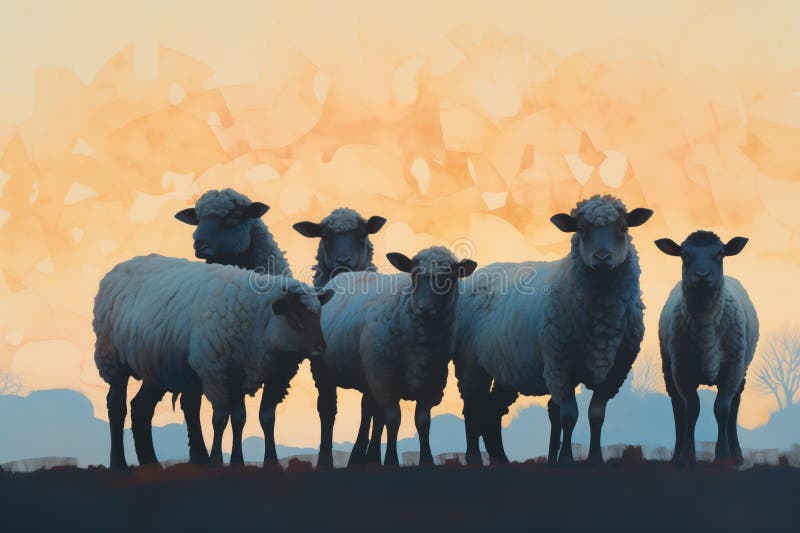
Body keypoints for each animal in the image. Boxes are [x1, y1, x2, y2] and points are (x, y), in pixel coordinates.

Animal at [93, 254, 332, 468]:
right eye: (296, 316)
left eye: (319, 315)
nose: (321, 349)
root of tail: (120, 267)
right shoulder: (217, 373)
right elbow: (221, 418)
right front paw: (217, 460)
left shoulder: (267, 376)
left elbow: (257, 418)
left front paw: (258, 462)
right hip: (113, 358)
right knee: (117, 406)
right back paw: (119, 464)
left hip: (158, 367)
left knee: (141, 408)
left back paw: (151, 463)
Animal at [293, 208, 387, 466]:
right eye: (325, 237)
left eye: (362, 235)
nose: (343, 262)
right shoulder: (320, 368)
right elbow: (326, 409)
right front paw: (325, 460)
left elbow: (368, 410)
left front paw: (359, 457)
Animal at [312, 246, 477, 468]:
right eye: (414, 276)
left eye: (448, 278)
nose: (425, 308)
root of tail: (340, 277)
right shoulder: (386, 380)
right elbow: (393, 419)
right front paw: (391, 461)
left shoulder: (430, 382)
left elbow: (422, 421)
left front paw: (426, 460)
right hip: (326, 371)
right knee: (328, 411)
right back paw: (326, 460)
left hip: (370, 374)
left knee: (369, 411)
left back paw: (364, 457)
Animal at [453, 195, 653, 466]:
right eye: (582, 229)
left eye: (623, 228)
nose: (602, 258)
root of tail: (481, 272)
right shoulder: (560, 366)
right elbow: (569, 417)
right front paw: (566, 459)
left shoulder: (614, 371)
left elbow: (596, 415)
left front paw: (595, 458)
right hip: (470, 364)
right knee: (472, 408)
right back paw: (474, 457)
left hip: (507, 368)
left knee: (492, 411)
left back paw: (501, 458)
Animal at [655, 231, 758, 465]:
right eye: (684, 255)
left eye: (720, 254)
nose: (702, 275)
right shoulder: (681, 370)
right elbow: (691, 409)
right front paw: (686, 457)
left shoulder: (733, 369)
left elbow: (722, 410)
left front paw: (723, 456)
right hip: (668, 367)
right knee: (677, 407)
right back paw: (676, 455)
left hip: (742, 368)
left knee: (735, 405)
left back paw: (736, 454)